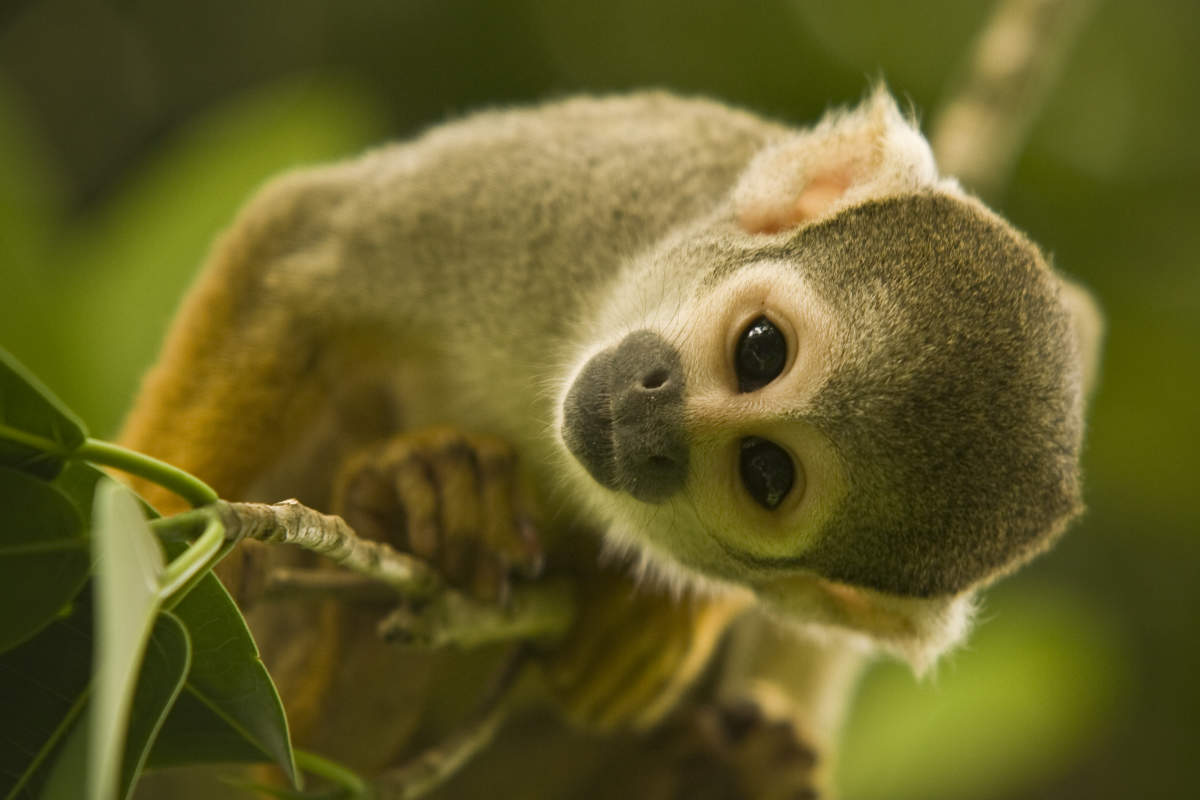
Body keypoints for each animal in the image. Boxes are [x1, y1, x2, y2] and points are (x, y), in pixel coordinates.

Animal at [119, 88, 1100, 798]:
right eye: (761, 349)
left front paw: (658, 615)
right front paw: (150, 560)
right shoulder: (606, 192)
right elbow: (304, 247)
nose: (650, 420)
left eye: (766, 473)